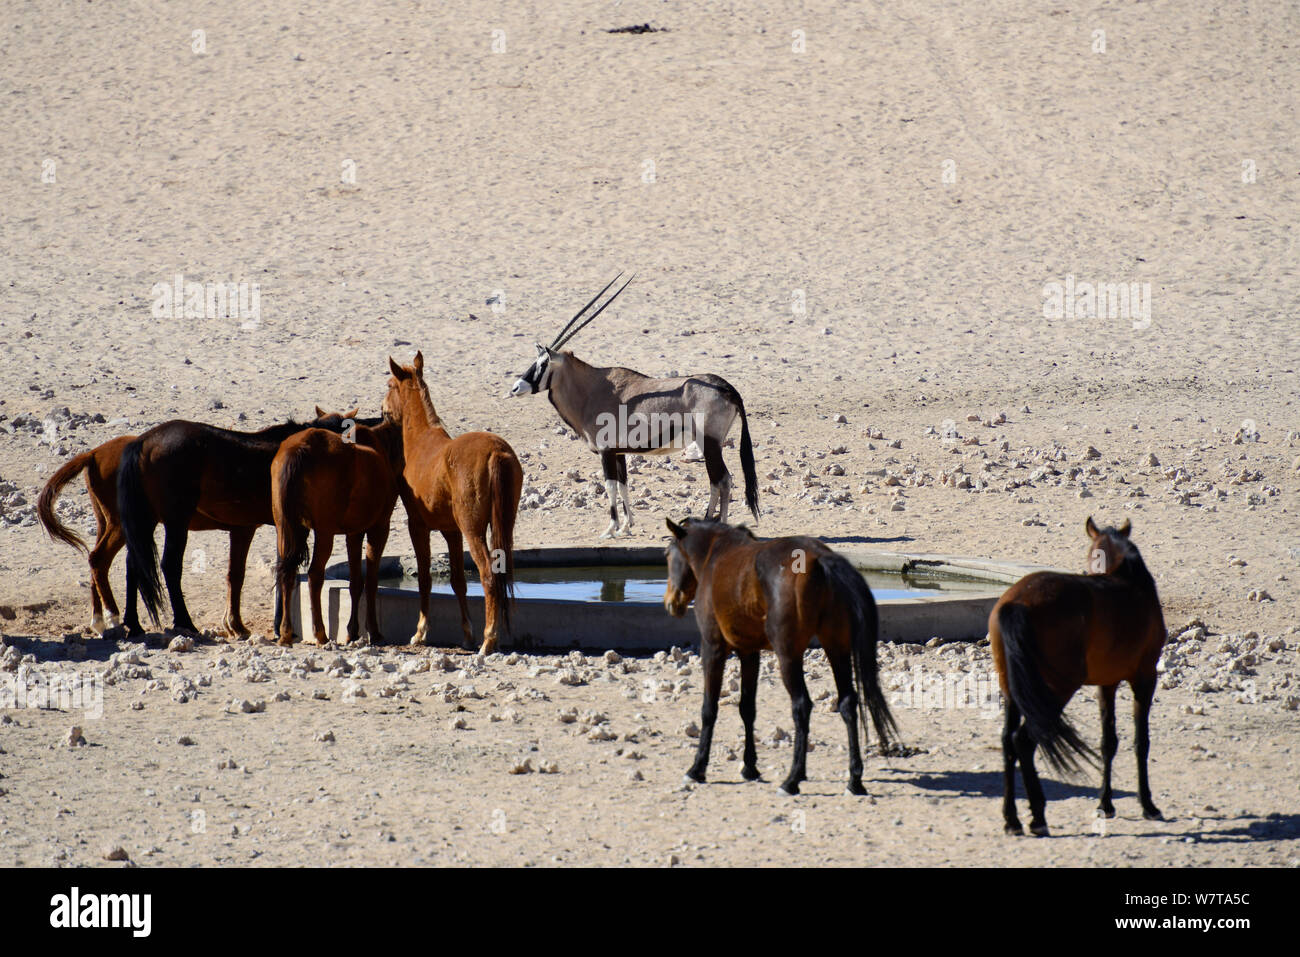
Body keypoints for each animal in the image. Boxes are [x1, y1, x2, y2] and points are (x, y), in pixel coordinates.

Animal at [115, 409, 357, 638]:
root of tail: (143, 442)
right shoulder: (290, 528)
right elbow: (284, 569)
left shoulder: (243, 529)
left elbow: (236, 575)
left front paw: (236, 625)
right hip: (176, 523)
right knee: (170, 566)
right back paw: (185, 622)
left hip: (146, 521)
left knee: (133, 565)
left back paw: (134, 624)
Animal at [272, 414, 402, 646]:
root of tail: (299, 449)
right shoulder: (378, 528)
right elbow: (370, 581)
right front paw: (373, 631)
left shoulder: (354, 532)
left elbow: (356, 581)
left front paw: (353, 630)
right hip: (324, 533)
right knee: (314, 575)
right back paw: (320, 633)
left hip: (286, 528)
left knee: (288, 573)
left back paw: (286, 632)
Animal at [382, 352, 522, 655]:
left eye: (389, 385)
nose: (382, 410)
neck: (421, 442)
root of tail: (496, 451)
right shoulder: (452, 531)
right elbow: (458, 581)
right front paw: (467, 634)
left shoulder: (418, 527)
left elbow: (424, 579)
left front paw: (421, 632)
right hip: (500, 527)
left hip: (474, 532)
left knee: (488, 575)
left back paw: (489, 639)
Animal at [663, 517, 899, 796]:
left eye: (667, 554)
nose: (671, 602)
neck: (715, 554)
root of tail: (821, 558)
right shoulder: (749, 652)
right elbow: (747, 708)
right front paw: (750, 767)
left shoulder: (713, 648)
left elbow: (709, 709)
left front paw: (697, 769)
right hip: (837, 649)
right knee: (847, 703)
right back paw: (854, 780)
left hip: (788, 657)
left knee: (802, 706)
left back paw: (792, 780)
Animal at [989, 516, 1167, 837]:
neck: (1129, 581)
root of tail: (1016, 602)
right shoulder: (1145, 679)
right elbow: (1141, 741)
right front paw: (1148, 805)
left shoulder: (1106, 684)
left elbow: (1108, 742)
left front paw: (1105, 804)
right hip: (1056, 690)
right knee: (1024, 741)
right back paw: (1038, 817)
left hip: (1012, 690)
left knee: (1008, 740)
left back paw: (1012, 820)